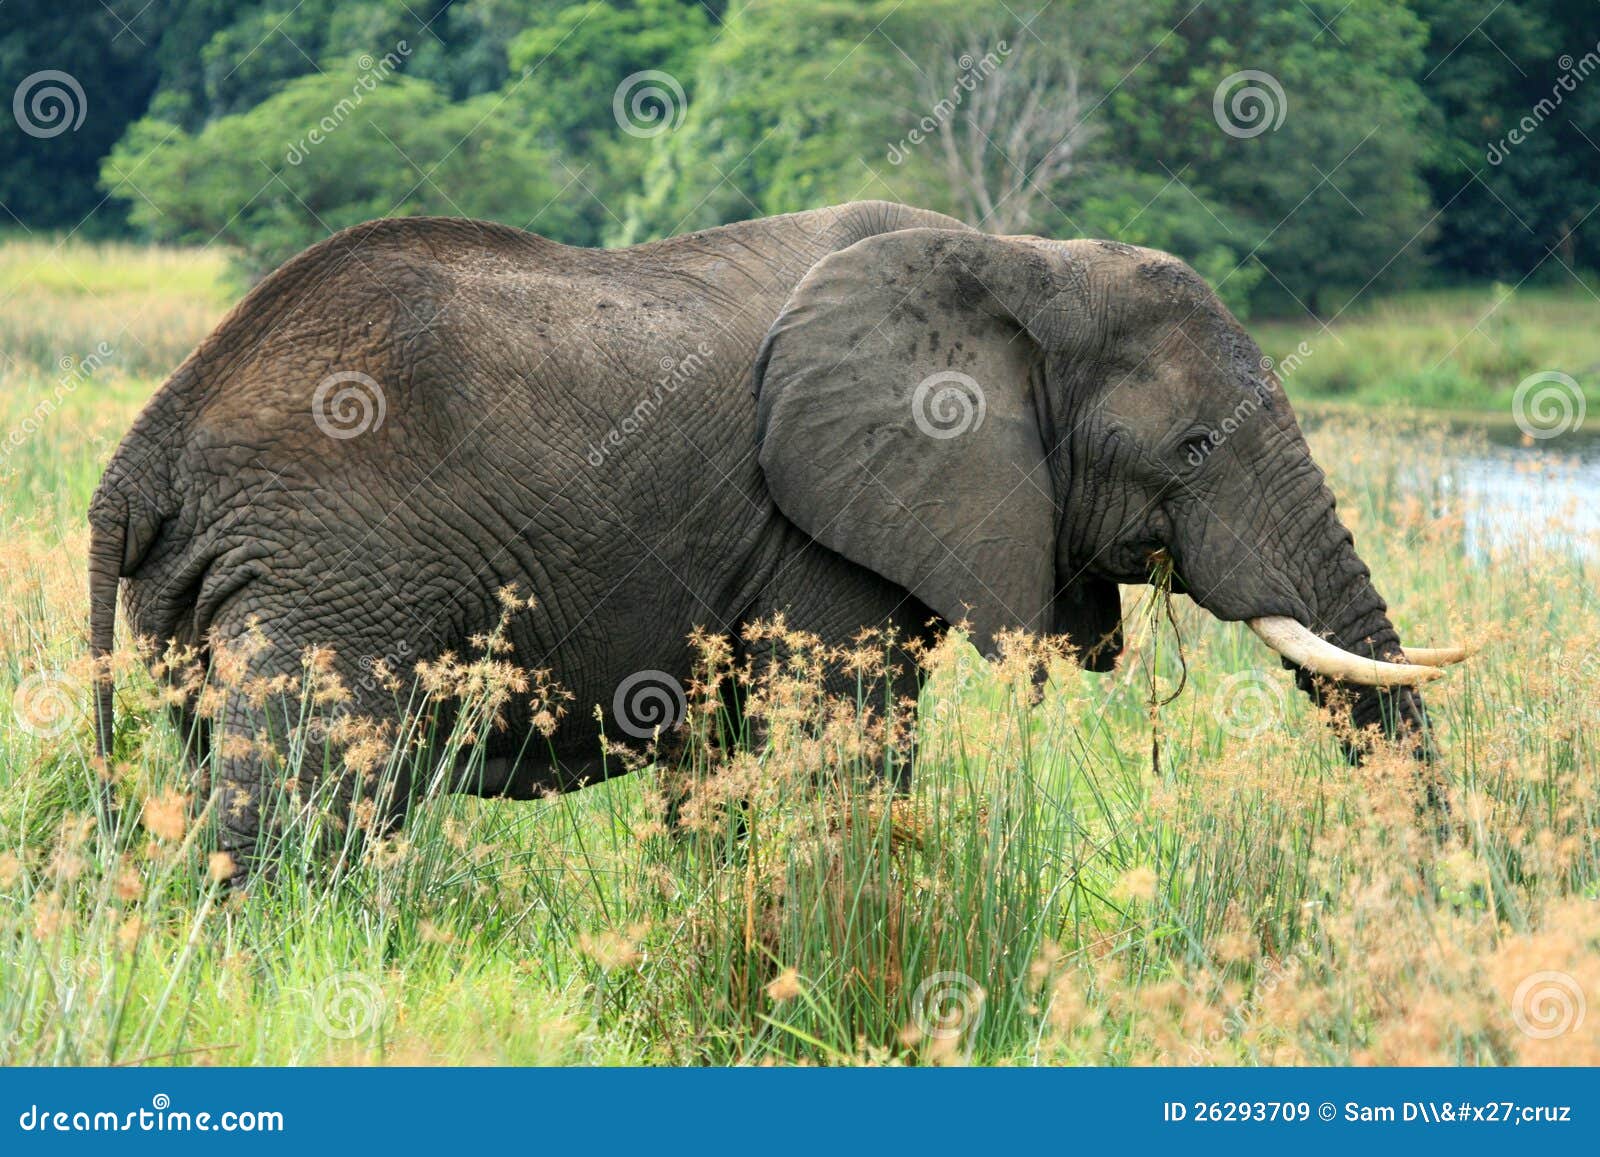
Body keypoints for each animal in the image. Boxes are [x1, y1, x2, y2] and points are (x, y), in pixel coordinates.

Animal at [88, 200, 1468, 877]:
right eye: (1188, 452)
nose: (1452, 895)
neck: (1018, 258)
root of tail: (144, 448)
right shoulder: (823, 531)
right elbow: (837, 755)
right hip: (329, 575)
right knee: (306, 805)